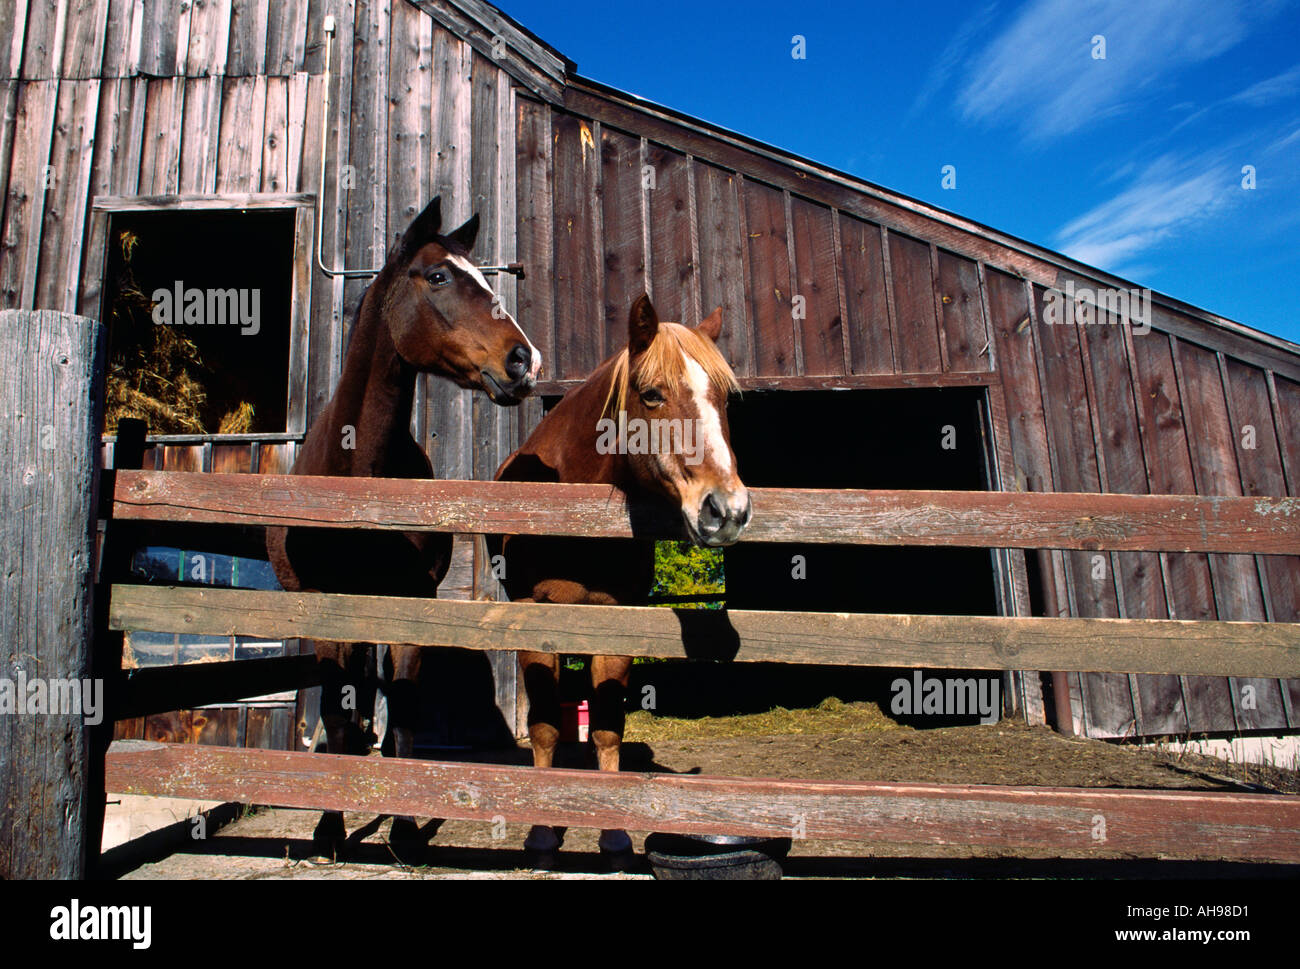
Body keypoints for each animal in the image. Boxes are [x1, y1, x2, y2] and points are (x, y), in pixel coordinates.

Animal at [266, 195, 541, 861]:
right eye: (437, 276)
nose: (523, 360)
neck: (357, 472)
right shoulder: (330, 612)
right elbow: (338, 712)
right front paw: (330, 829)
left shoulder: (408, 605)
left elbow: (407, 711)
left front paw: (407, 828)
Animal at [493, 293, 751, 868]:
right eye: (652, 394)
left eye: (725, 398)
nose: (727, 510)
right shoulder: (535, 618)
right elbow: (545, 728)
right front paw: (541, 833)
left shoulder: (615, 622)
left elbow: (608, 729)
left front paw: (614, 837)